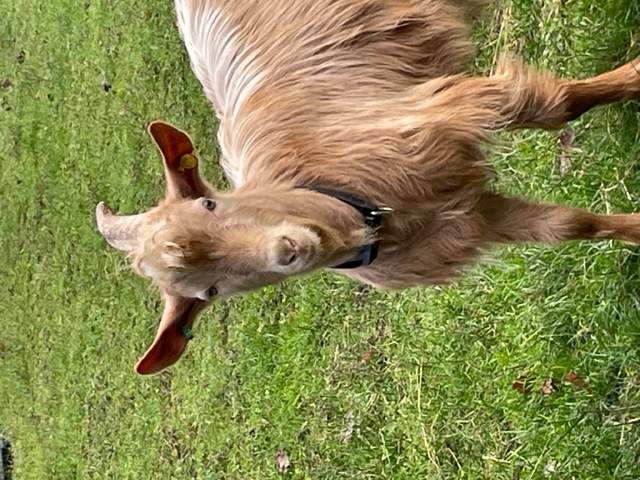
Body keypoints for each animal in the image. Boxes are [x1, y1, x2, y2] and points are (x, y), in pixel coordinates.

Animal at [96, 0, 640, 375]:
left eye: (211, 203)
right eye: (210, 291)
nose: (286, 249)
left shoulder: (451, 109)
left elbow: (560, 105)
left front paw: (634, 75)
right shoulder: (474, 220)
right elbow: (570, 226)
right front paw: (634, 232)